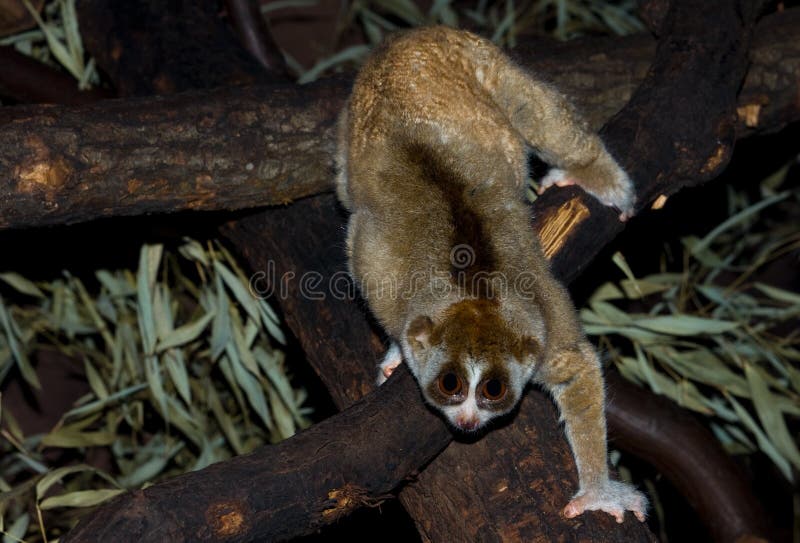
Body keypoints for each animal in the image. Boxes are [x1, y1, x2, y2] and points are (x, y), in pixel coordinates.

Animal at [335, 26, 646, 523]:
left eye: (493, 390)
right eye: (451, 385)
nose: (467, 420)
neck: (473, 287)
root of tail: (406, 38)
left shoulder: (545, 324)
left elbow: (577, 367)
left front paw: (598, 493)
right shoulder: (373, 265)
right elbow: (364, 258)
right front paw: (397, 352)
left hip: (487, 62)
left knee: (539, 116)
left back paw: (596, 175)